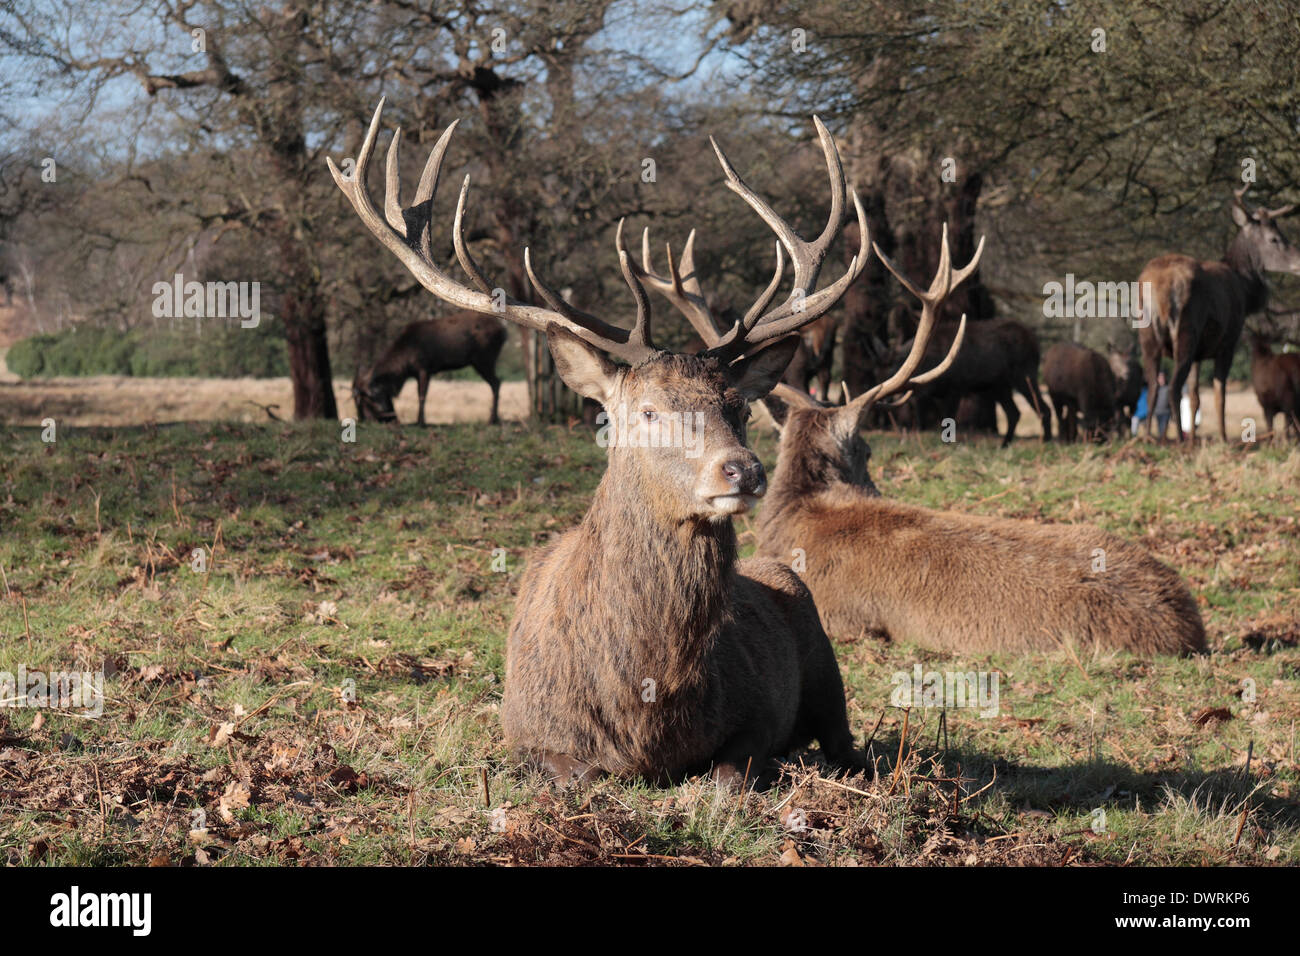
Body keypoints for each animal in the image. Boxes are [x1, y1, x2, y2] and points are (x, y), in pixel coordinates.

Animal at [353, 312, 504, 424]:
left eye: (368, 399)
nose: (363, 419)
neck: (404, 366)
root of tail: (504, 332)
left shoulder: (424, 368)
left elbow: (422, 395)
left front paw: (421, 422)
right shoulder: (419, 372)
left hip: (484, 359)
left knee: (496, 382)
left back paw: (492, 420)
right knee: (496, 382)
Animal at [1138, 184, 1300, 442]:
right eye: (1274, 238)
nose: (1298, 261)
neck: (1245, 290)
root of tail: (1159, 286)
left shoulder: (1199, 354)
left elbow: (1195, 397)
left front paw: (1195, 440)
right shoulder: (1228, 341)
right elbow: (1219, 393)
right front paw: (1223, 439)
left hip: (1147, 335)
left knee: (1153, 385)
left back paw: (1148, 439)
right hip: (1186, 329)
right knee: (1173, 387)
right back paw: (1179, 440)